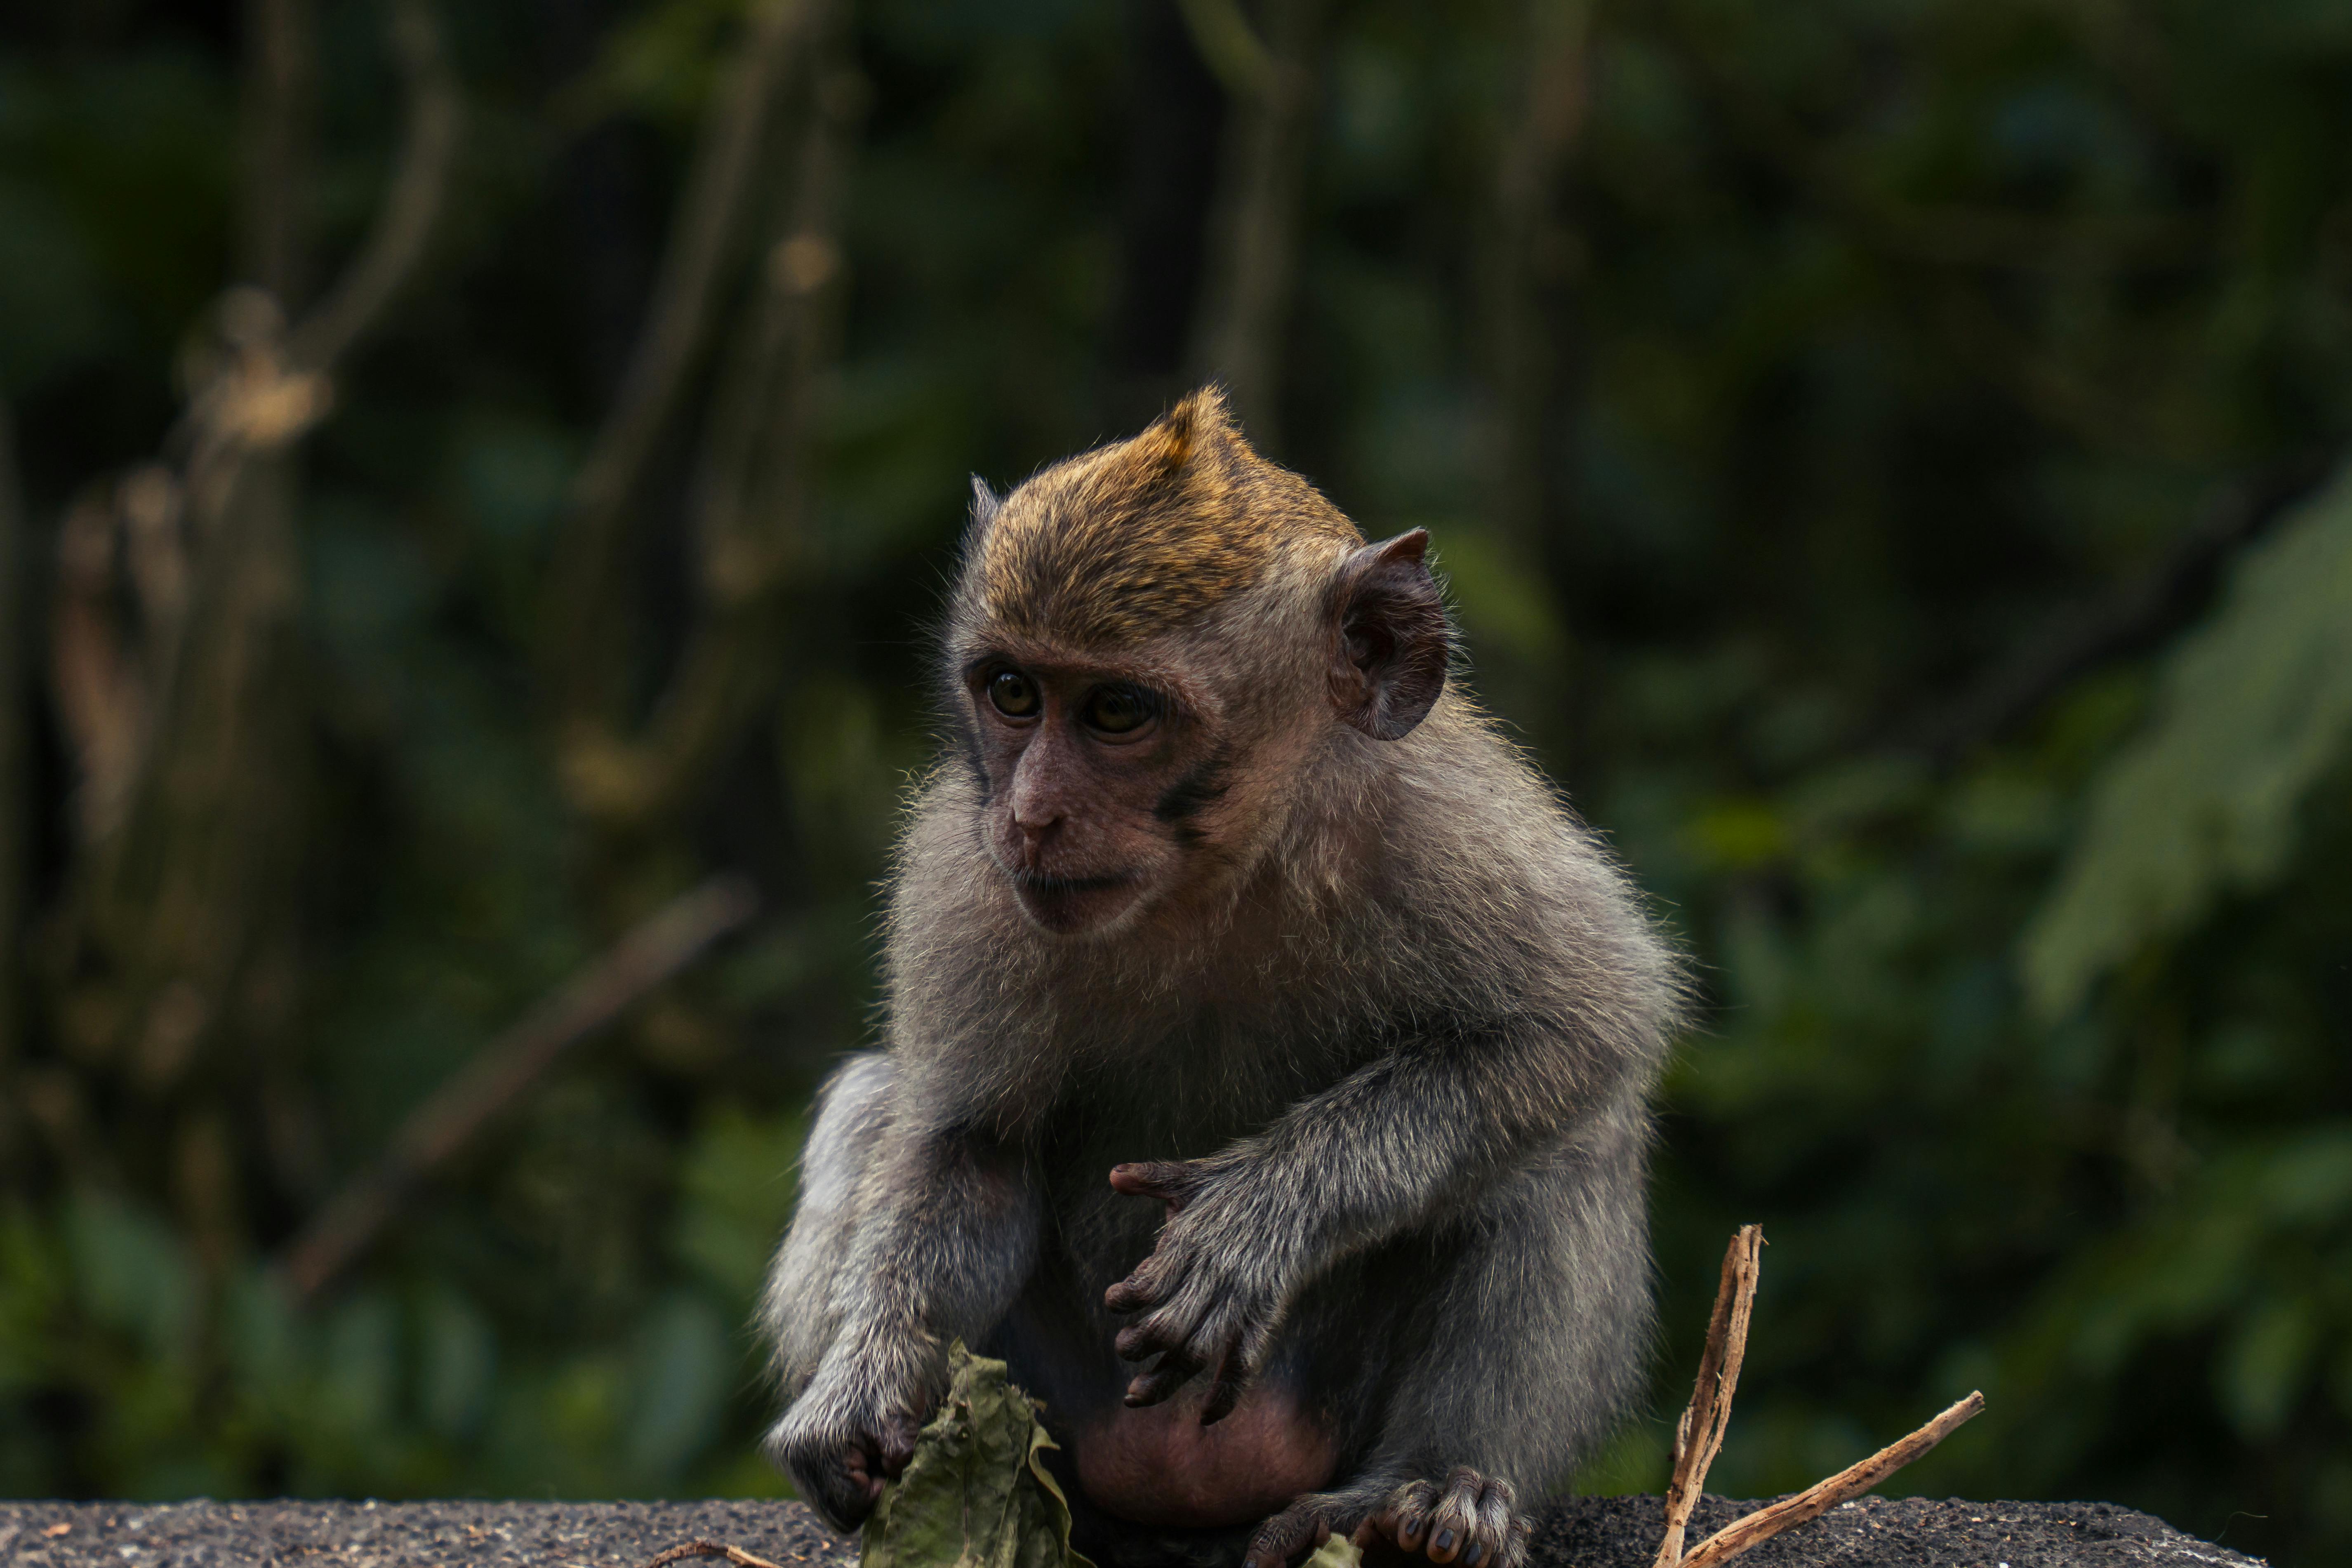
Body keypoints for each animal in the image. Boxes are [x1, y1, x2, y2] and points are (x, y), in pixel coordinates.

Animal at [757, 387, 1681, 1568]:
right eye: (1011, 692)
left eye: (1115, 712)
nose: (1031, 816)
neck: (1211, 877)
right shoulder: (964, 884)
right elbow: (970, 1148)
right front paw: (863, 1385)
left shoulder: (1447, 826)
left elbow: (1577, 1024)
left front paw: (1252, 1219)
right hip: (1073, 1417)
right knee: (876, 1102)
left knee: (1561, 1147)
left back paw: (1431, 1495)